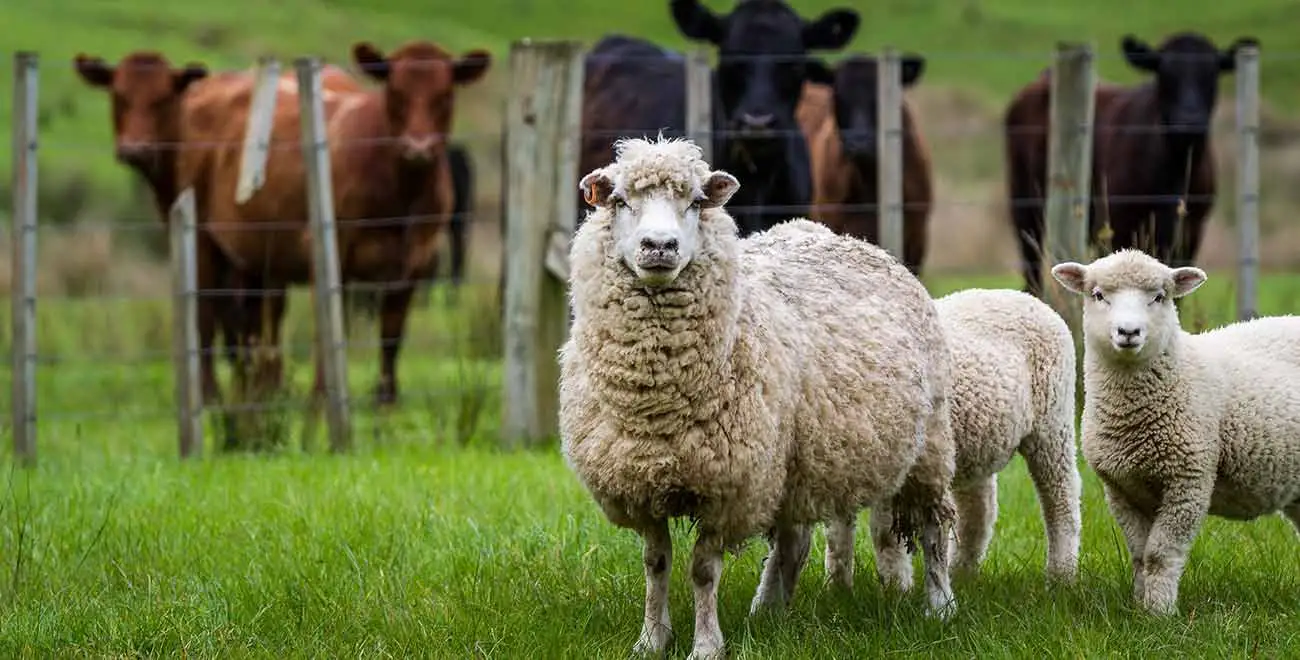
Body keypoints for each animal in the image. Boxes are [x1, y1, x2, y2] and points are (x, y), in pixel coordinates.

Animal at [179, 39, 491, 409]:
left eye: (445, 94)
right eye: (395, 92)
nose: (418, 148)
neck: (401, 198)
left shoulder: (417, 261)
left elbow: (391, 337)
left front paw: (387, 402)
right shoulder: (330, 253)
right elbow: (329, 331)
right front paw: (321, 399)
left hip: (253, 250)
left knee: (252, 324)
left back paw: (255, 394)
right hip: (201, 237)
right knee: (204, 317)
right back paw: (211, 397)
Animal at [558, 135, 958, 660]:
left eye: (696, 202)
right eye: (621, 202)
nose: (660, 246)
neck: (658, 405)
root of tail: (851, 240)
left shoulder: (728, 486)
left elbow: (703, 570)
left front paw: (706, 645)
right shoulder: (642, 483)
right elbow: (655, 563)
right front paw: (651, 639)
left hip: (927, 444)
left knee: (932, 527)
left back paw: (941, 605)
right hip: (795, 461)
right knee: (791, 539)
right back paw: (768, 608)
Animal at [823, 288, 1083, 589]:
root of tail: (1022, 296)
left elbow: (885, 534)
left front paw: (896, 588)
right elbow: (837, 535)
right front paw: (837, 588)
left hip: (1053, 421)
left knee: (1061, 498)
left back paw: (1061, 576)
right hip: (975, 440)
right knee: (978, 511)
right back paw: (962, 574)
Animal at [1004, 32, 1259, 297]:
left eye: (1212, 73)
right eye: (1164, 73)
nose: (1189, 121)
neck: (1175, 171)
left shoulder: (1190, 231)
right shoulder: (1115, 224)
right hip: (1025, 205)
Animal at [1051, 249, 1300, 616]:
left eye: (1159, 297)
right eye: (1098, 295)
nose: (1128, 331)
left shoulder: (1188, 481)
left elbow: (1159, 554)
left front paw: (1159, 613)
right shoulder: (1121, 489)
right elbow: (1140, 555)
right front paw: (1140, 608)